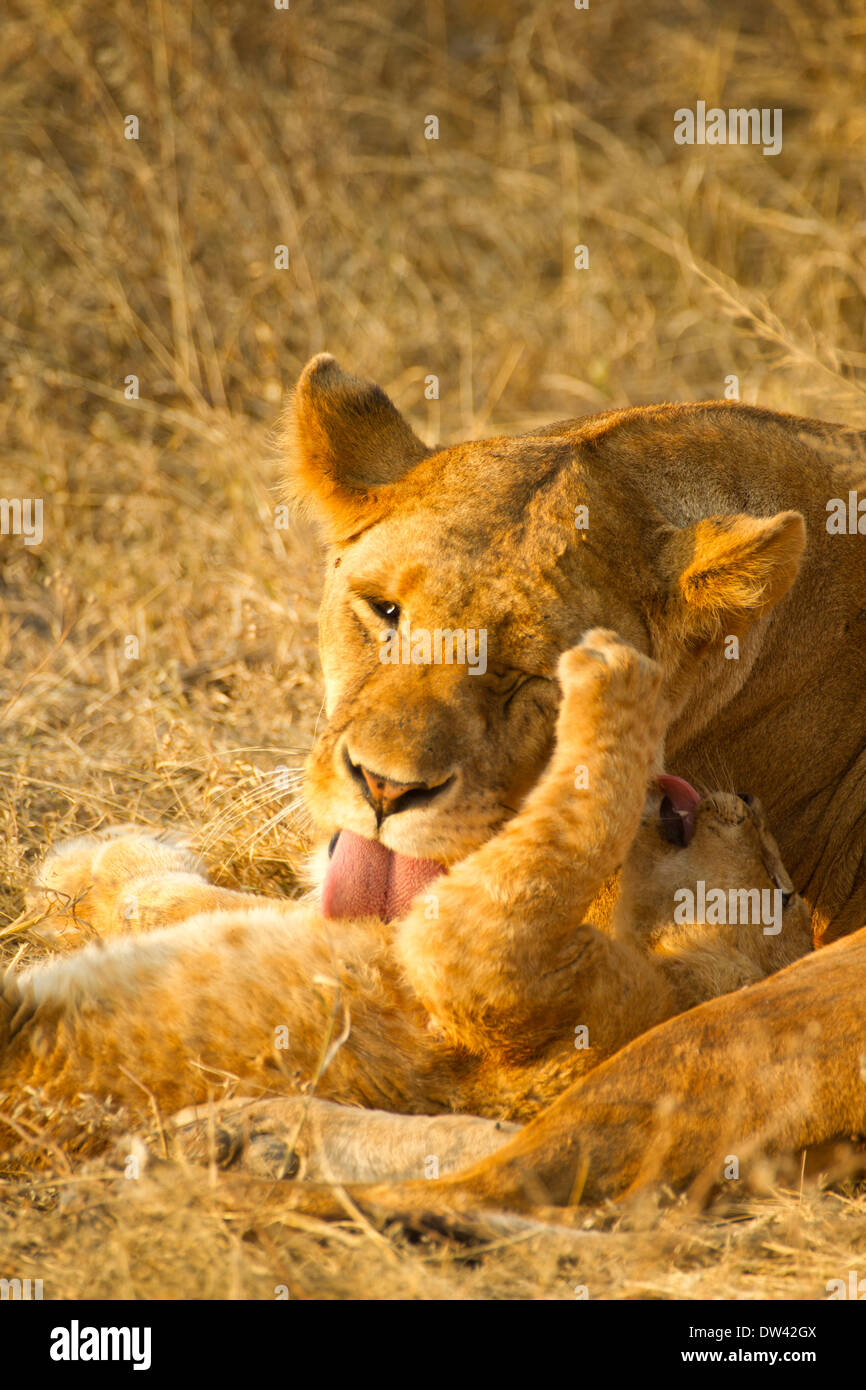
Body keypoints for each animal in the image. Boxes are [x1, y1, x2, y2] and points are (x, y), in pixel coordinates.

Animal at [1, 353, 864, 1200]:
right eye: (384, 611)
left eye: (530, 672)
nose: (385, 788)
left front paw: (101, 872)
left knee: (505, 1172)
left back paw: (251, 1145)